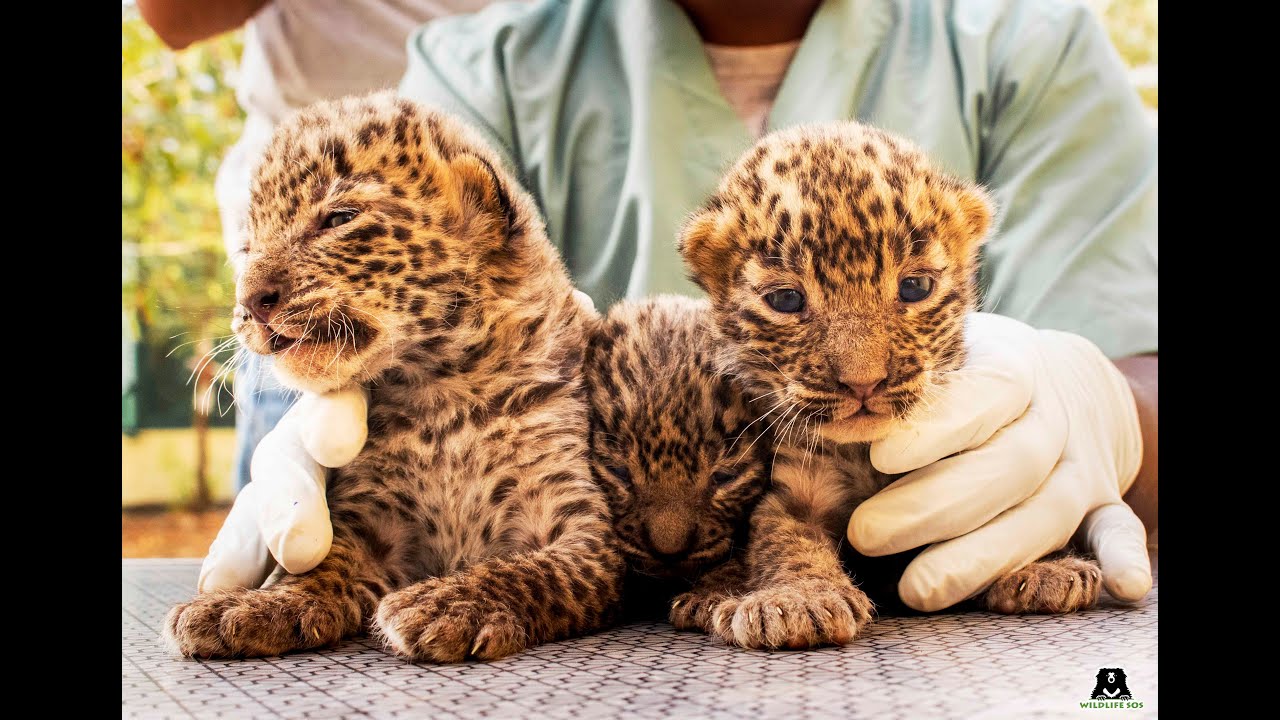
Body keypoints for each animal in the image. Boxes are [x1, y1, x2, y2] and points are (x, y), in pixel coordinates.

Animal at [162, 92, 625, 662]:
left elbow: (535, 573)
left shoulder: (587, 526)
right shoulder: (370, 522)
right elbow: (322, 569)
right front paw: (247, 606)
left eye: (339, 218)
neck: (442, 393)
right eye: (247, 250)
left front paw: (447, 604)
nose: (249, 303)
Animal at [677, 121, 1102, 650]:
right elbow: (785, 541)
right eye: (786, 300)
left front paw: (1041, 566)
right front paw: (800, 600)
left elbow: (1007, 520)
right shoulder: (794, 493)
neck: (864, 455)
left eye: (915, 288)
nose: (864, 382)